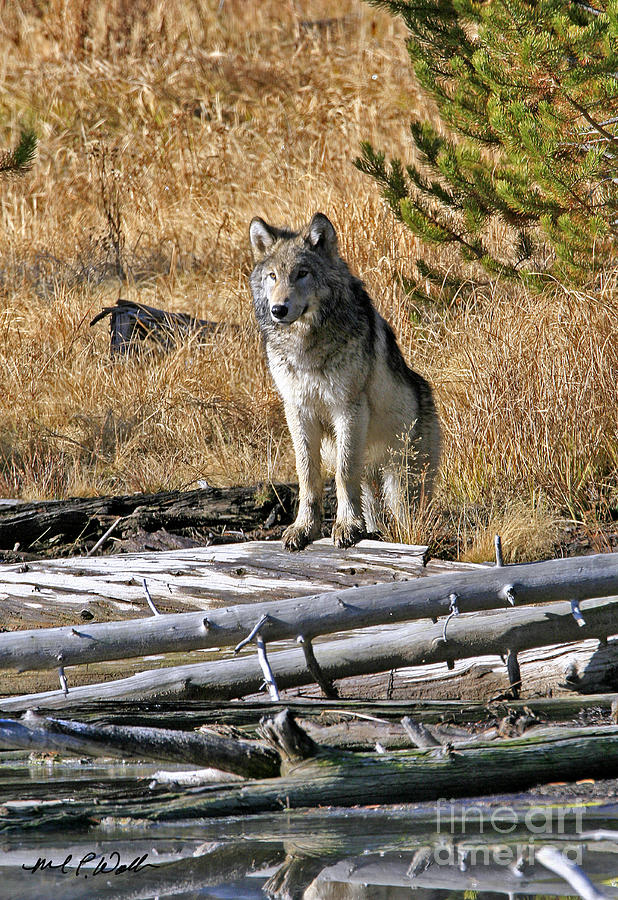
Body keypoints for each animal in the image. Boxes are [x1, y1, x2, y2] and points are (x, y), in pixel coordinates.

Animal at [249, 212, 441, 551]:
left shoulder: (348, 408)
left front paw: (348, 526)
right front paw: (304, 528)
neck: (307, 346)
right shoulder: (297, 411)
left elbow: (342, 474)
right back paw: (372, 531)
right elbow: (308, 476)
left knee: (406, 513)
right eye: (273, 276)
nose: (278, 309)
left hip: (402, 478)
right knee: (370, 502)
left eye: (302, 273)